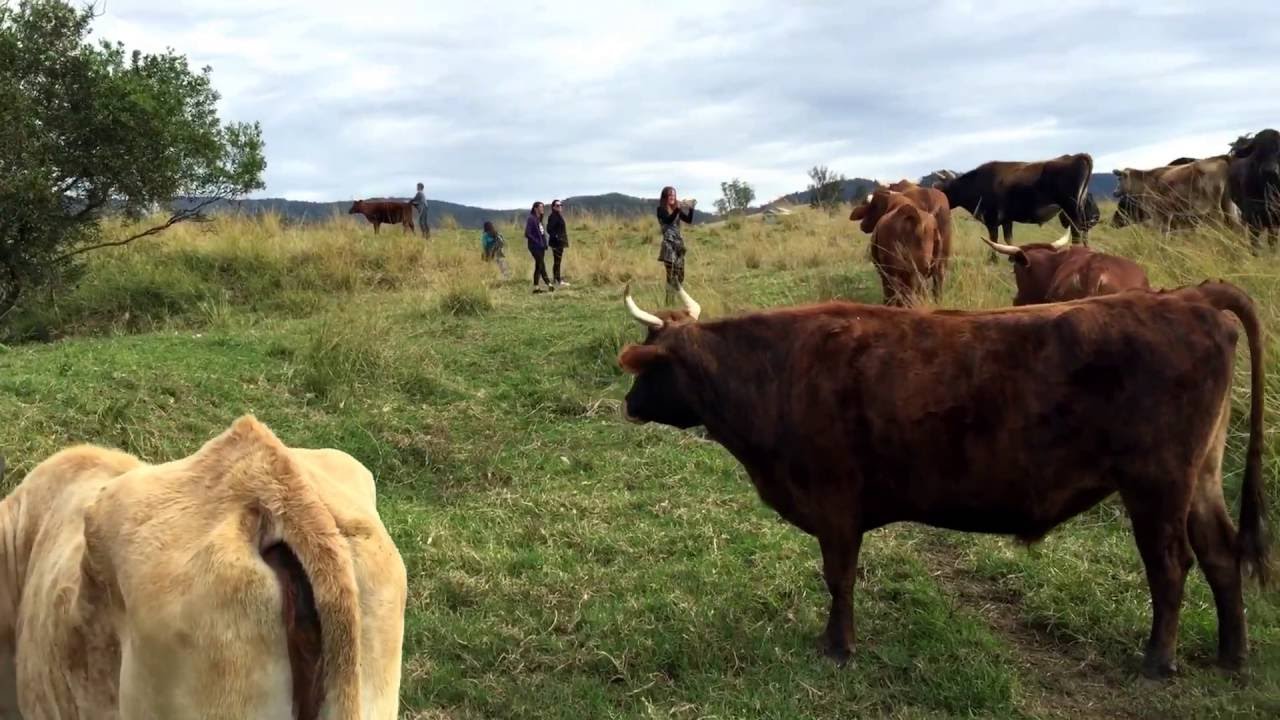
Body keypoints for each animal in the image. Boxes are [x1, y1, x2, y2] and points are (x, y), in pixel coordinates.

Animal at [618, 282, 1268, 679]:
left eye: (650, 365)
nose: (628, 404)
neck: (776, 371)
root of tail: (1189, 296)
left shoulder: (834, 504)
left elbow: (839, 579)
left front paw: (838, 646)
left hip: (1156, 485)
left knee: (1172, 566)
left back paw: (1159, 660)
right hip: (1200, 477)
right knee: (1220, 554)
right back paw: (1232, 655)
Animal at [930, 153, 1095, 253]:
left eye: (940, 190)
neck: (976, 183)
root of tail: (1078, 156)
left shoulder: (992, 220)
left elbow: (993, 240)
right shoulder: (1007, 220)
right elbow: (1008, 240)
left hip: (1071, 209)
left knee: (1077, 233)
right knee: (1084, 232)